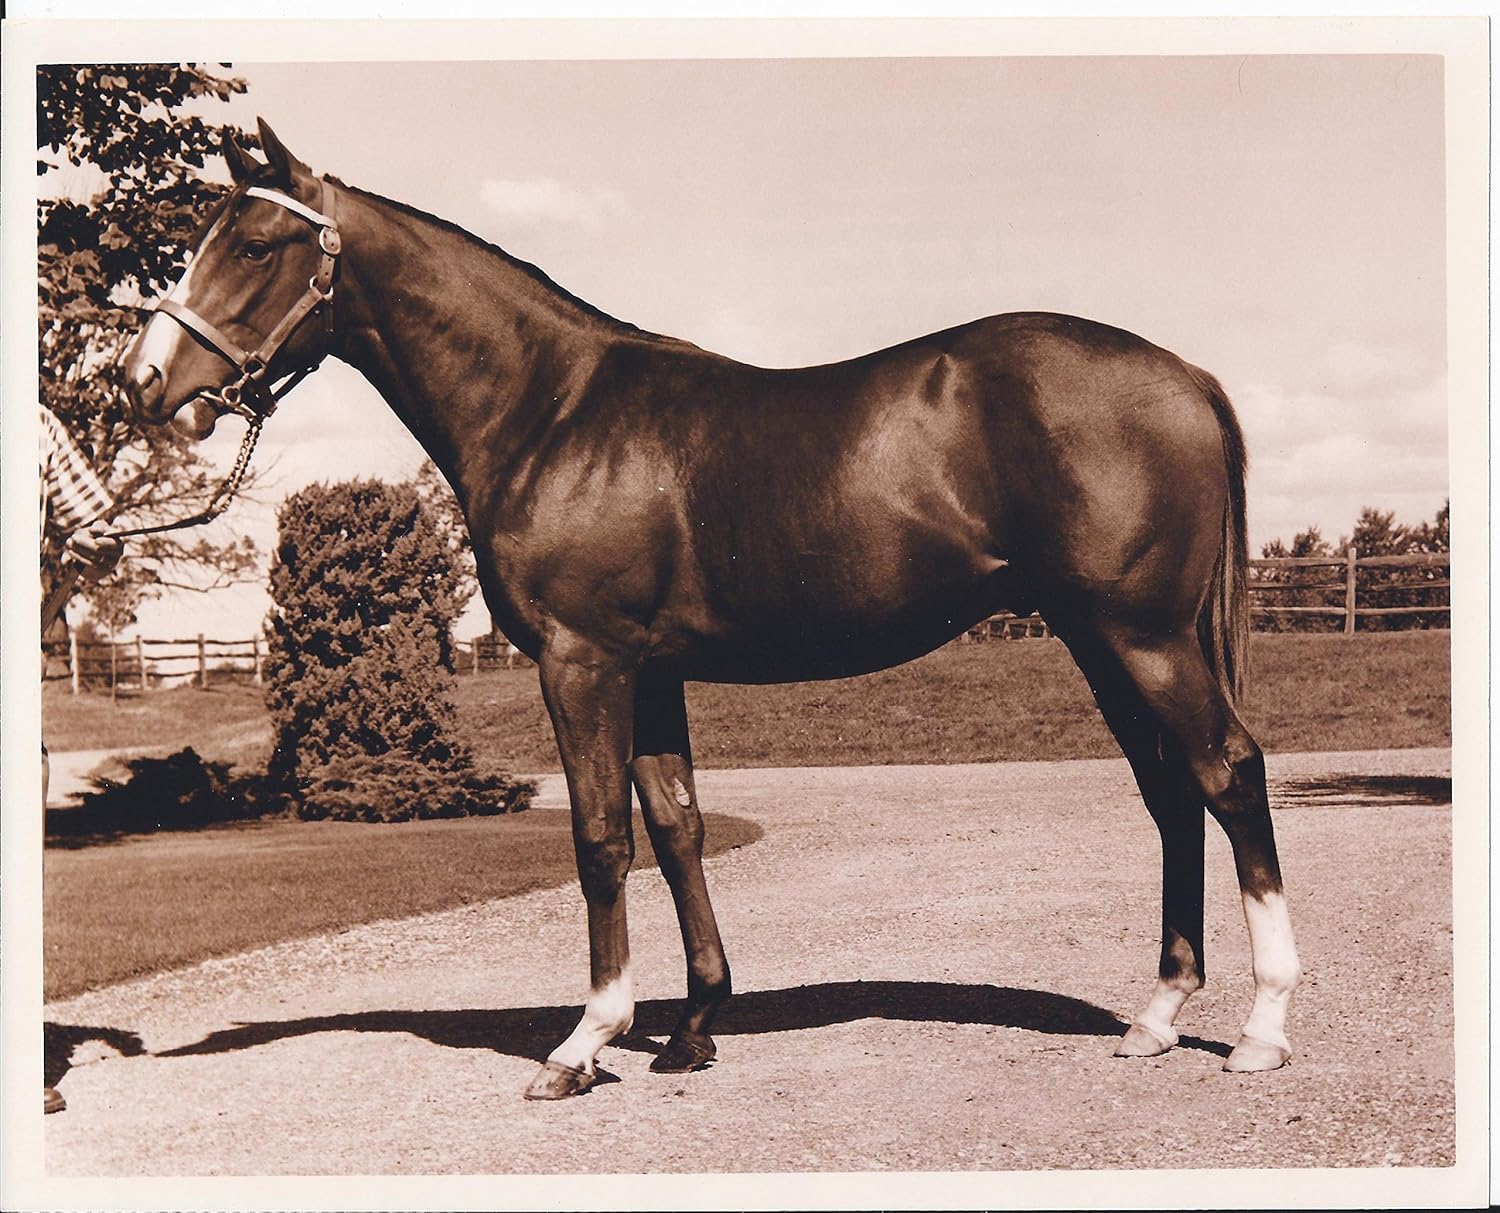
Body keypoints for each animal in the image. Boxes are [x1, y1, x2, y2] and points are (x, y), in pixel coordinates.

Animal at [123, 119, 1300, 1100]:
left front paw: (584, 1041)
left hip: (1142, 637)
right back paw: (1157, 1014)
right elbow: (677, 824)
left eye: (255, 245)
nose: (143, 384)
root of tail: (1186, 376)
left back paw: (1262, 1028)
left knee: (1230, 774)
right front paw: (692, 1028)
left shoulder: (581, 660)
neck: (553, 408)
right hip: (1103, 641)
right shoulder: (651, 669)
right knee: (1172, 794)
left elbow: (601, 836)